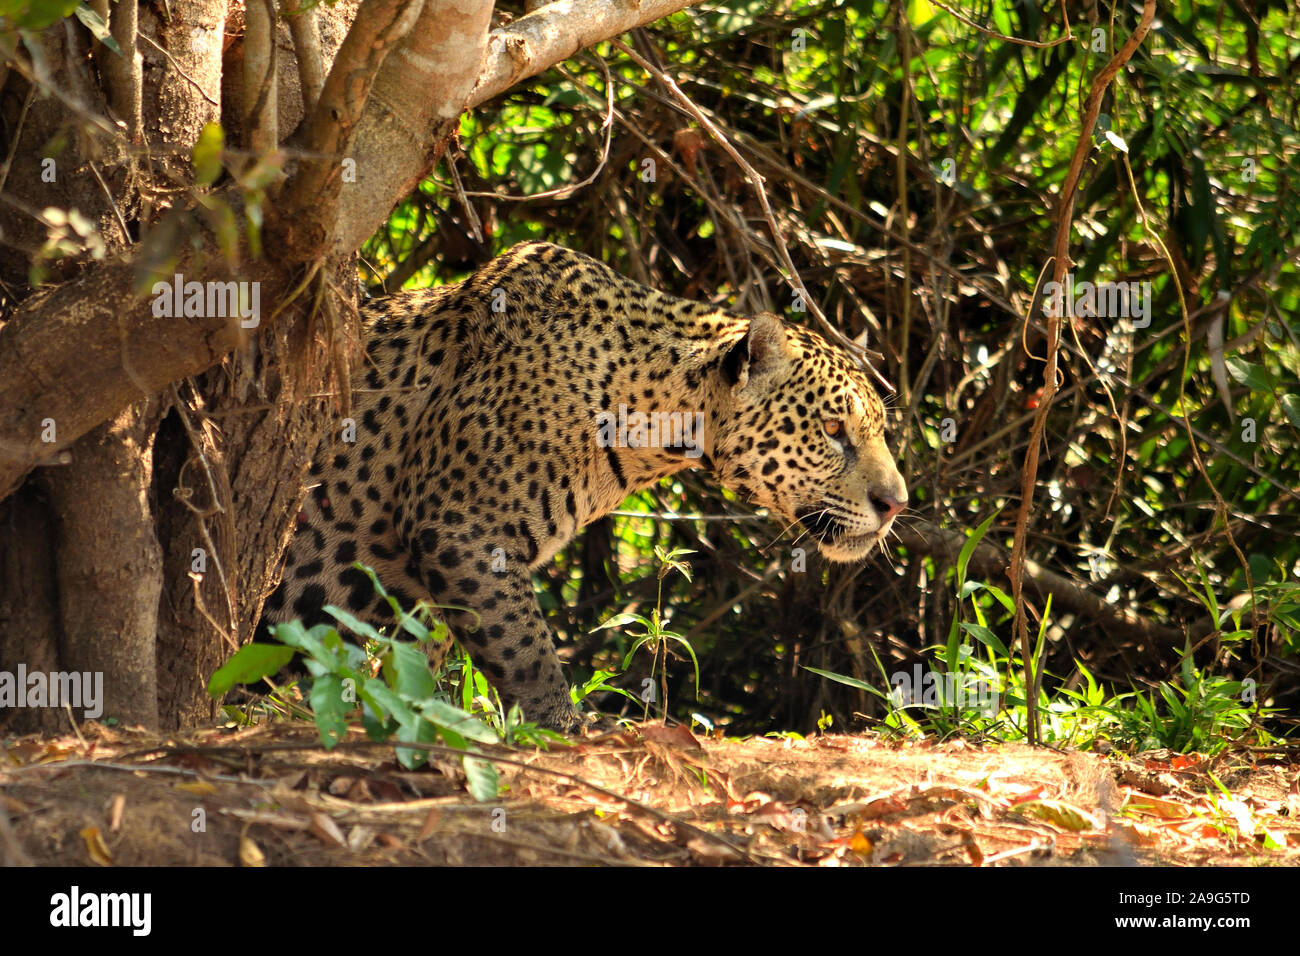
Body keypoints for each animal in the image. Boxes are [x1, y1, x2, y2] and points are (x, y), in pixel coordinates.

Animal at [258, 241, 908, 731]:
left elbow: (418, 653)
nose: (896, 504)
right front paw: (564, 727)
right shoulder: (459, 527)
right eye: (832, 429)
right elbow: (525, 649)